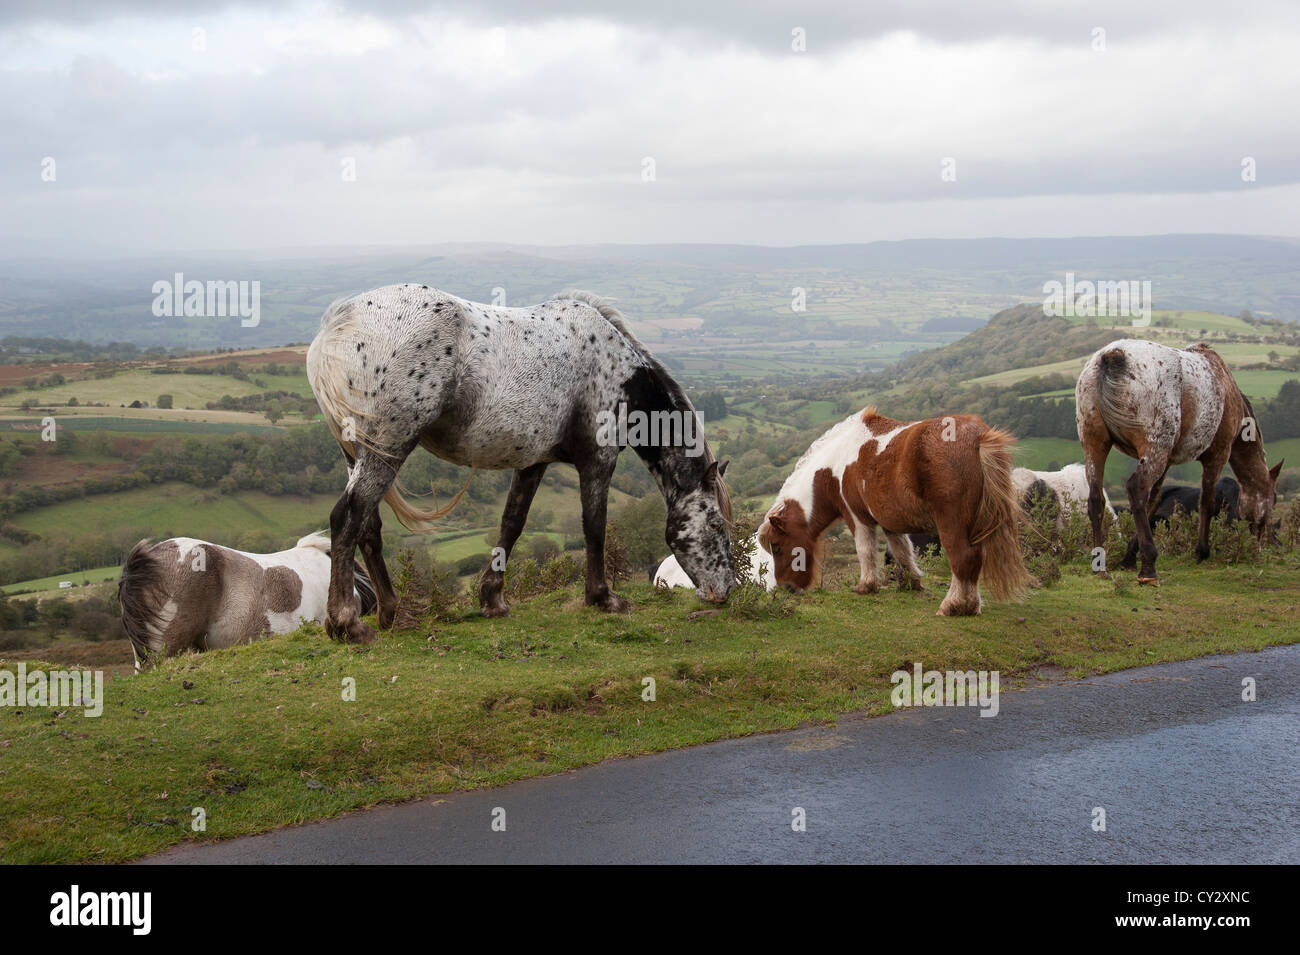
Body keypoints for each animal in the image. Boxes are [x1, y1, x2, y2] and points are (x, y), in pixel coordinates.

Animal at [307, 286, 735, 642]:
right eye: (716, 524)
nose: (727, 589)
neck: (616, 369)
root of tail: (338, 323)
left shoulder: (533, 462)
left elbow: (512, 524)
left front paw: (492, 600)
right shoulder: (598, 460)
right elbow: (594, 526)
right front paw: (603, 598)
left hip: (357, 453)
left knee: (368, 526)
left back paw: (393, 614)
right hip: (387, 448)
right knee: (348, 517)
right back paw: (347, 623)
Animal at [757, 407, 1030, 616]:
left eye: (777, 547)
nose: (786, 589)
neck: (836, 466)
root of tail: (977, 438)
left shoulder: (857, 518)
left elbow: (865, 551)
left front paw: (866, 586)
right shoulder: (889, 521)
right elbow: (902, 551)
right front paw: (912, 583)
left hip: (952, 523)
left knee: (964, 558)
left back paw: (953, 606)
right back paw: (970, 606)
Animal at [1076, 340, 1282, 583]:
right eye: (1274, 499)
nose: (1258, 545)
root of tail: (1112, 356)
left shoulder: (1167, 462)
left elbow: (1153, 501)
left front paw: (1128, 558)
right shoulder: (1217, 455)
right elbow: (1206, 502)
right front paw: (1202, 551)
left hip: (1095, 443)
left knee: (1096, 498)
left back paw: (1100, 565)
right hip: (1154, 446)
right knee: (1136, 488)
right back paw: (1149, 567)